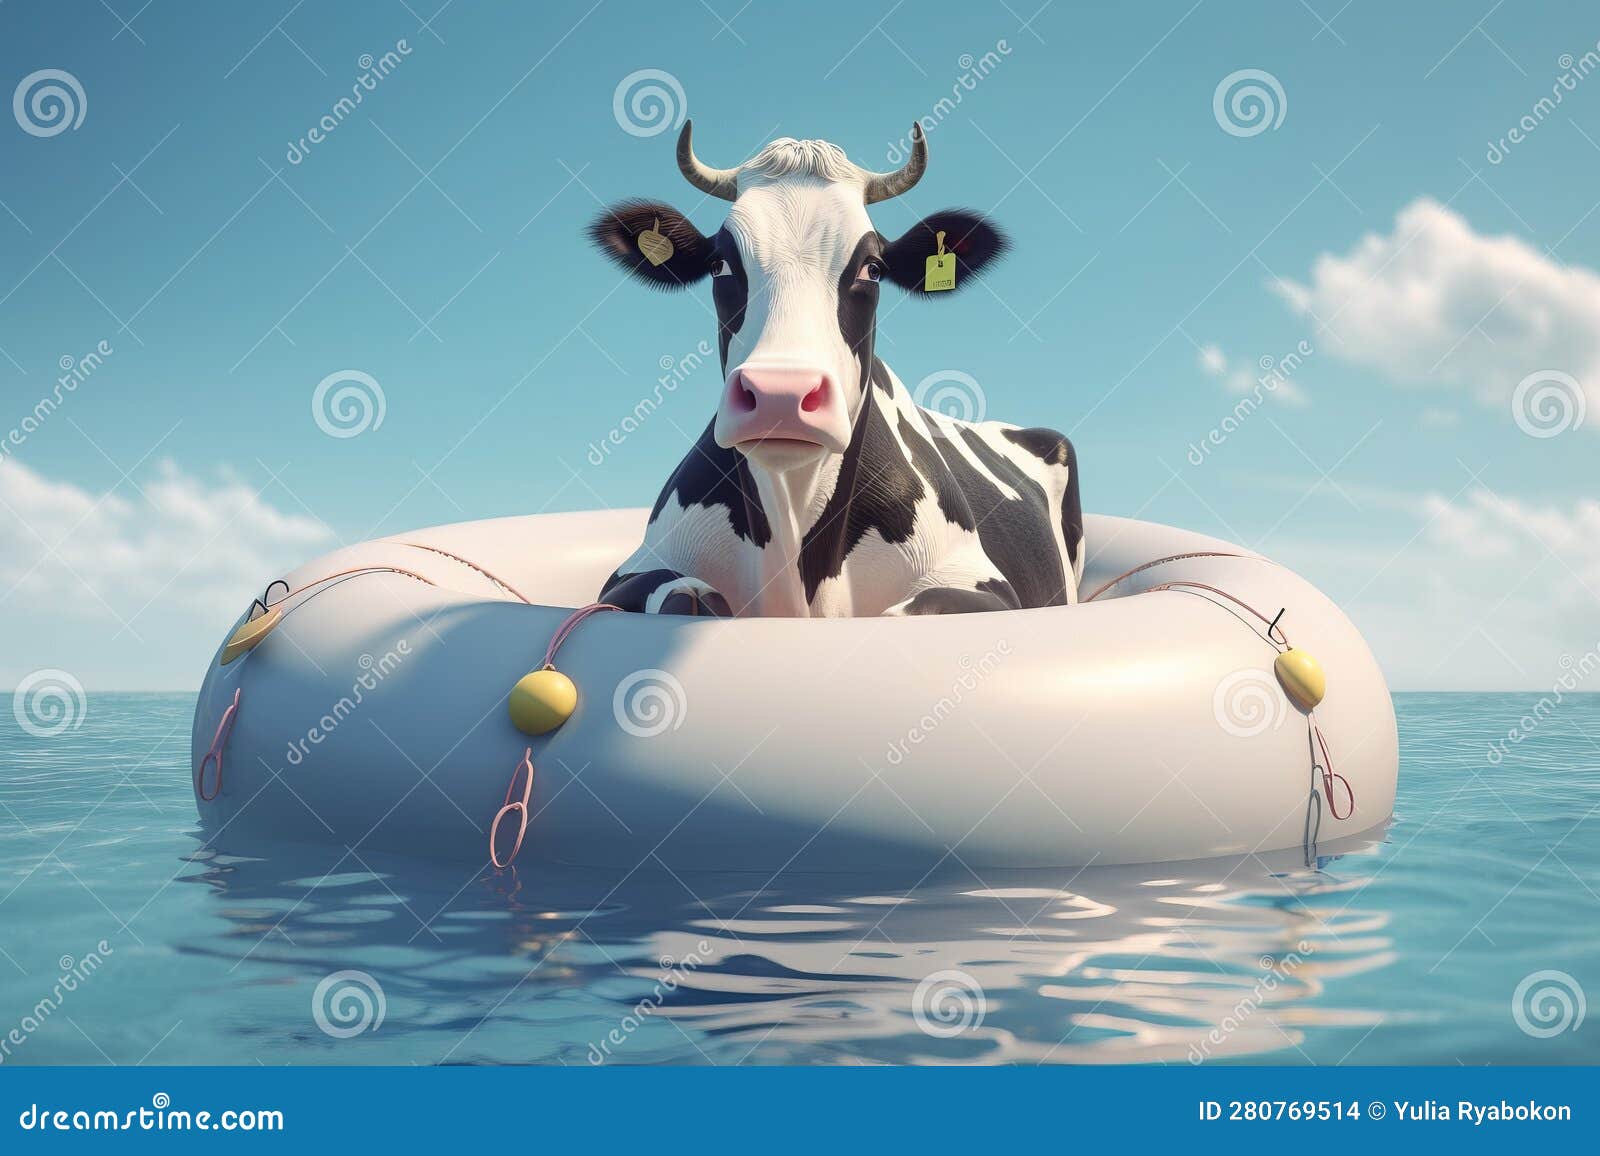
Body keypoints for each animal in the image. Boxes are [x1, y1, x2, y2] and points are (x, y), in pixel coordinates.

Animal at [587, 122, 1083, 618]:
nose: (780, 396)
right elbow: (686, 595)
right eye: (719, 264)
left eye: (873, 268)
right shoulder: (642, 565)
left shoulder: (977, 579)